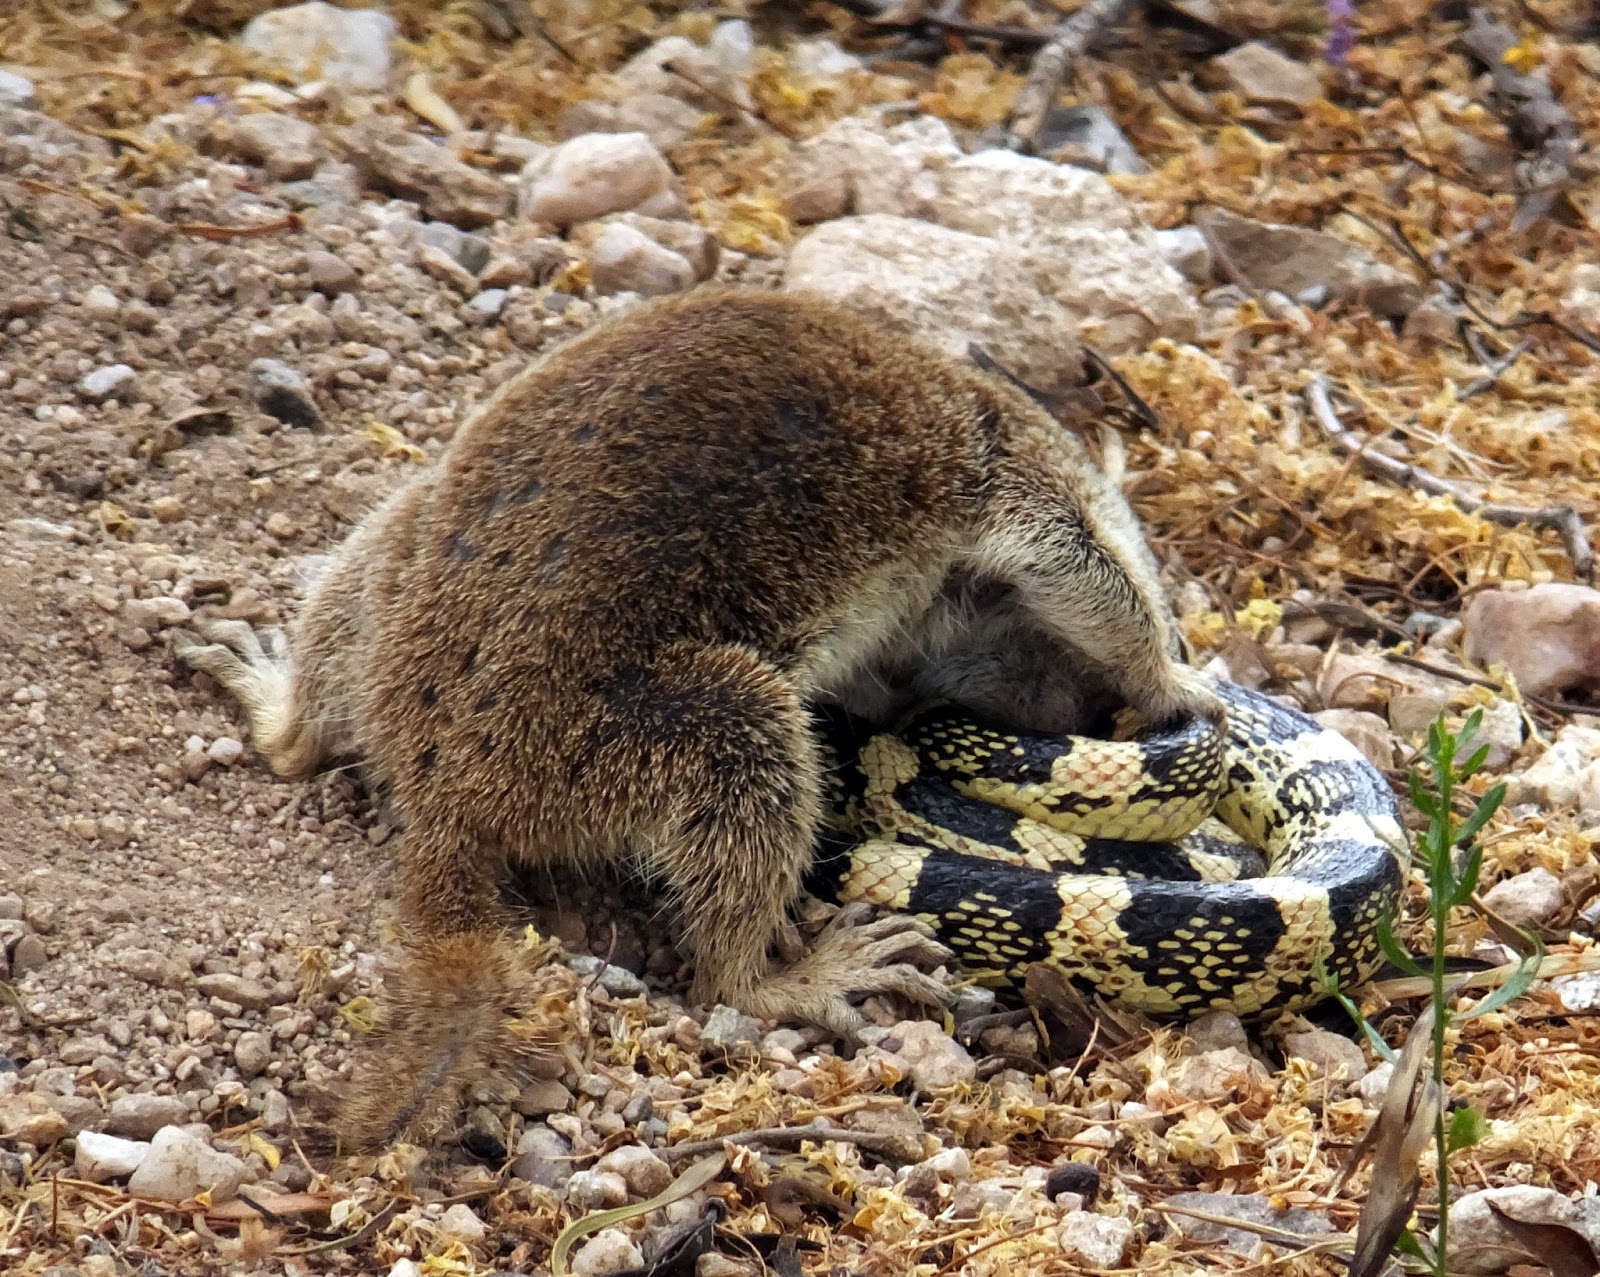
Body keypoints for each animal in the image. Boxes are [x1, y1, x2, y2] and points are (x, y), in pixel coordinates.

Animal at [176, 288, 1219, 1146]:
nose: (1084, 715)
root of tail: (440, 800)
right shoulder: (1019, 480)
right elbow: (1090, 576)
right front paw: (1179, 677)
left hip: (393, 540)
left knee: (308, 724)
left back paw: (274, 700)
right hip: (715, 723)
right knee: (725, 944)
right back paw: (797, 974)